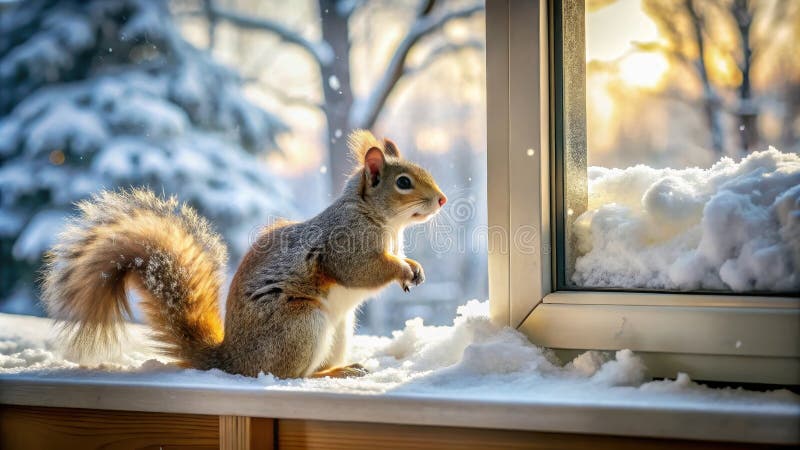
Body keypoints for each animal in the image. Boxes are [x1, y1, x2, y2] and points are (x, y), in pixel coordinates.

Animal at [41, 130, 447, 378]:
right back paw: (334, 373)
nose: (442, 199)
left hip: (338, 331)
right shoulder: (346, 241)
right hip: (302, 324)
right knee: (291, 375)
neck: (385, 223)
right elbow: (362, 270)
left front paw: (414, 266)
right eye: (404, 182)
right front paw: (402, 271)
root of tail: (233, 360)